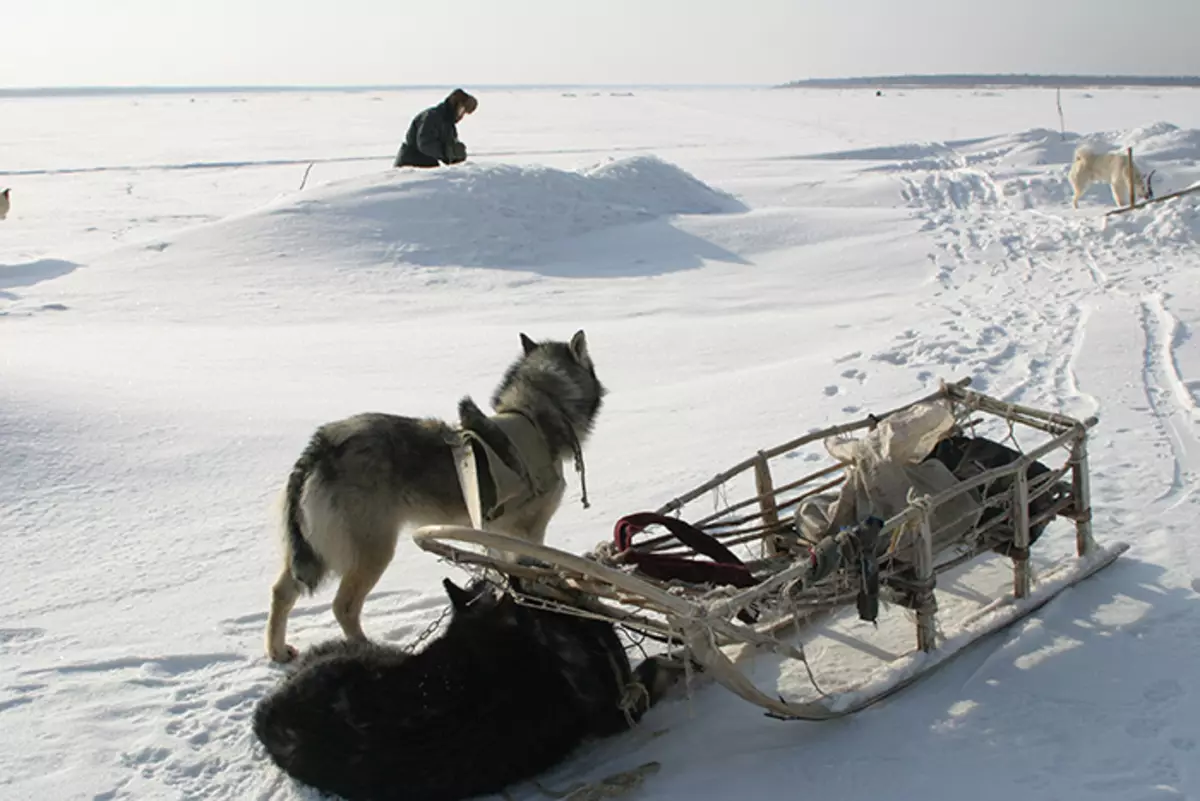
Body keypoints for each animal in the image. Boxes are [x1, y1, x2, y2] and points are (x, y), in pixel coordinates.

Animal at [261, 330, 600, 661]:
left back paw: (278, 651)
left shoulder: (497, 534)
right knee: (343, 607)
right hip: (373, 552)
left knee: (281, 592)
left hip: (314, 554)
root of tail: (320, 447)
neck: (533, 416)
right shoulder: (527, 533)